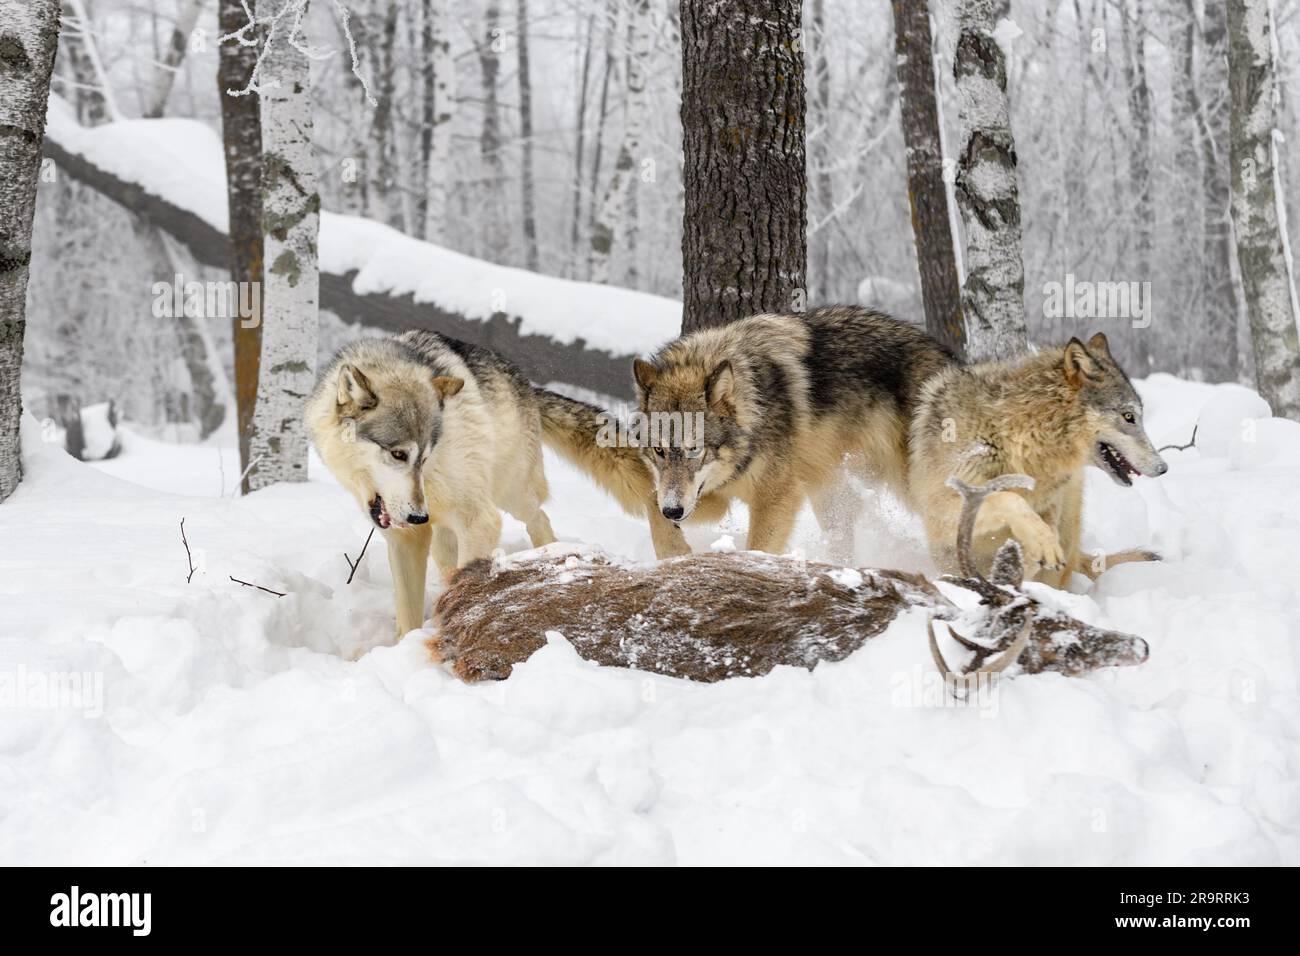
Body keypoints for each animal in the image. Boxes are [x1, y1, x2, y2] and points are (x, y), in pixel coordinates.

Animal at [306, 331, 556, 635]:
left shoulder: (480, 521)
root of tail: (526, 381)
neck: (431, 474)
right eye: (399, 454)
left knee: (540, 517)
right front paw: (407, 643)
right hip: (442, 537)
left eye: (424, 458)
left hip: (513, 493)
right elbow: (407, 614)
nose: (418, 517)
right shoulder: (407, 538)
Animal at [534, 306, 956, 559]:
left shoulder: (777, 494)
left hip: (912, 483)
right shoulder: (703, 495)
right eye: (658, 451)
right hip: (827, 491)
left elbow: (759, 546)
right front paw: (674, 551)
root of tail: (949, 359)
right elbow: (655, 505)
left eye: (694, 450)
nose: (674, 510)